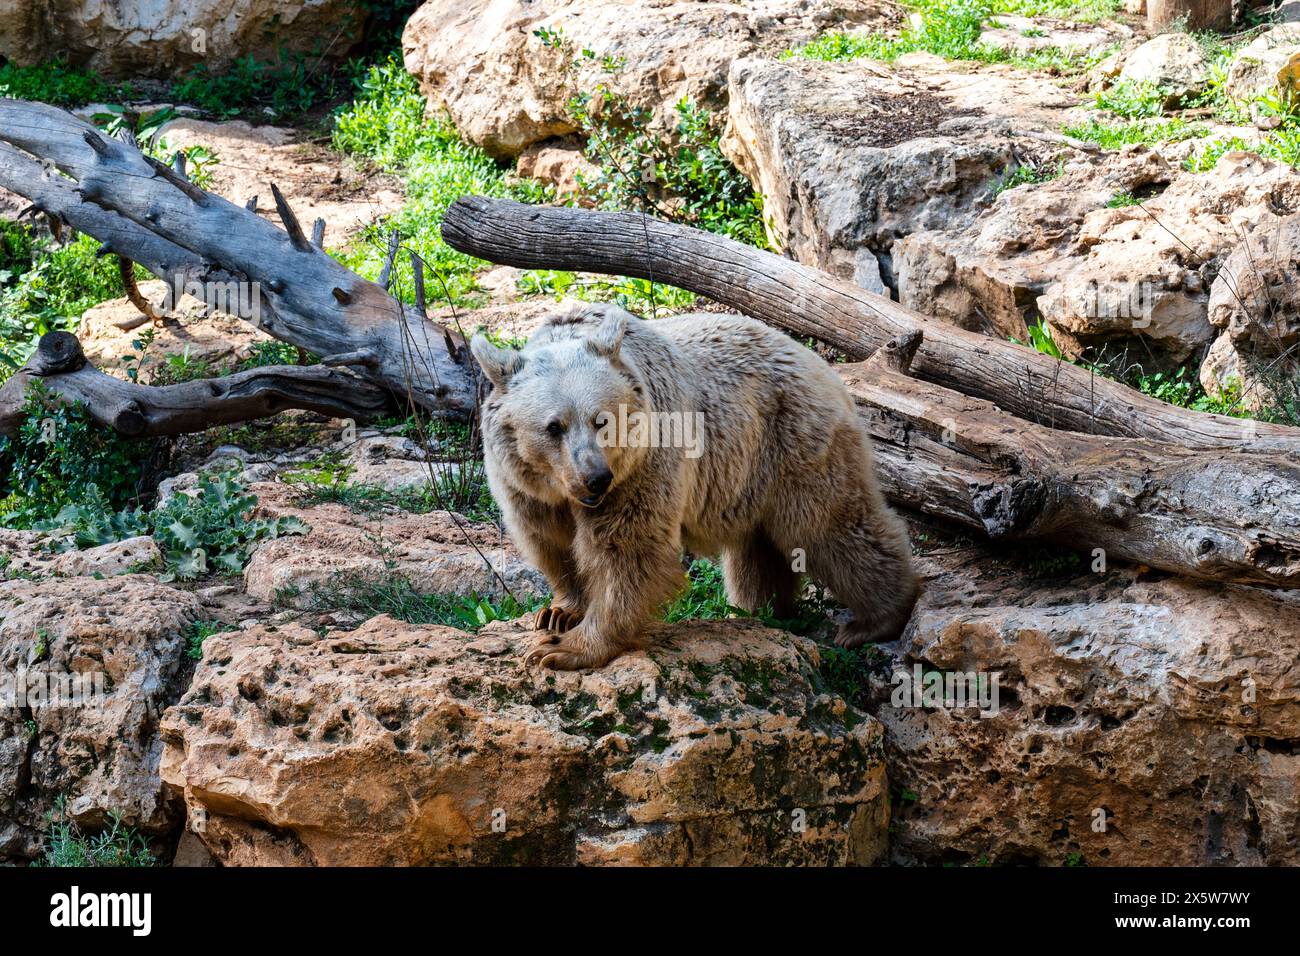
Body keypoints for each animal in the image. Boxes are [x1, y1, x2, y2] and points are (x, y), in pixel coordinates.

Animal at [470, 301, 918, 670]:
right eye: (553, 426)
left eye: (602, 420)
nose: (596, 478)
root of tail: (824, 365)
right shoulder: (525, 487)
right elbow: (551, 542)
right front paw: (559, 612)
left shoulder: (644, 463)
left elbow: (627, 549)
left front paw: (567, 649)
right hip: (747, 475)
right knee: (759, 552)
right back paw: (760, 609)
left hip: (793, 442)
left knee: (829, 527)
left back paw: (875, 619)